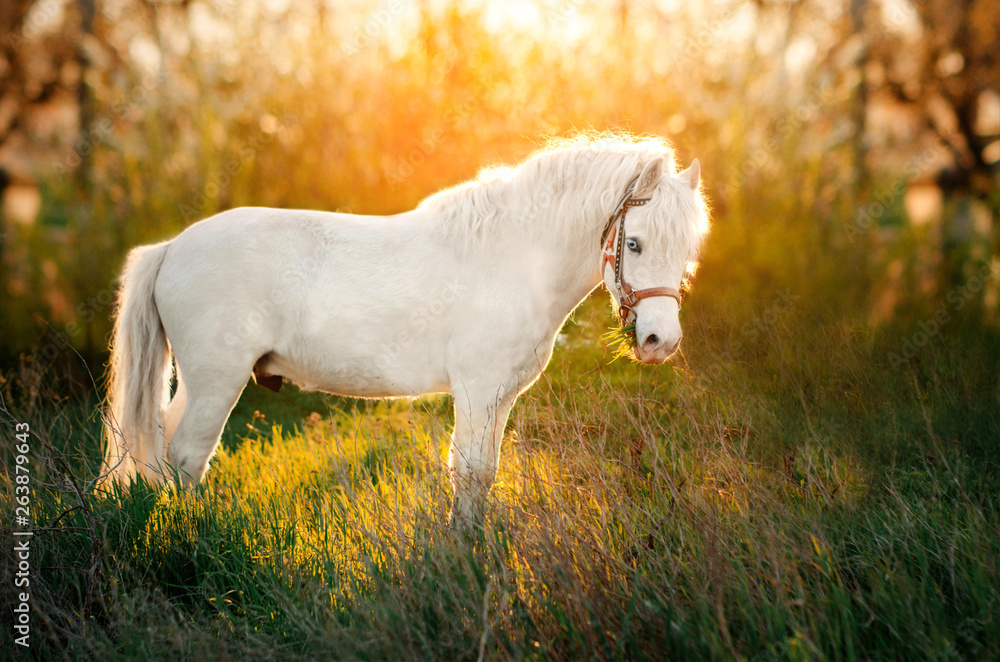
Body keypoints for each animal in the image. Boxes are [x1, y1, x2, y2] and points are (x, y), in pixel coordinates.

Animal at [100, 133, 710, 526]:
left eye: (688, 247)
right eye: (635, 244)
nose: (660, 342)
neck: (511, 256)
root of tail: (172, 247)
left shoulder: (499, 397)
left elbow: (482, 474)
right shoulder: (477, 391)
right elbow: (470, 471)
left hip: (196, 384)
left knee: (160, 453)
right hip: (216, 383)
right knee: (185, 459)